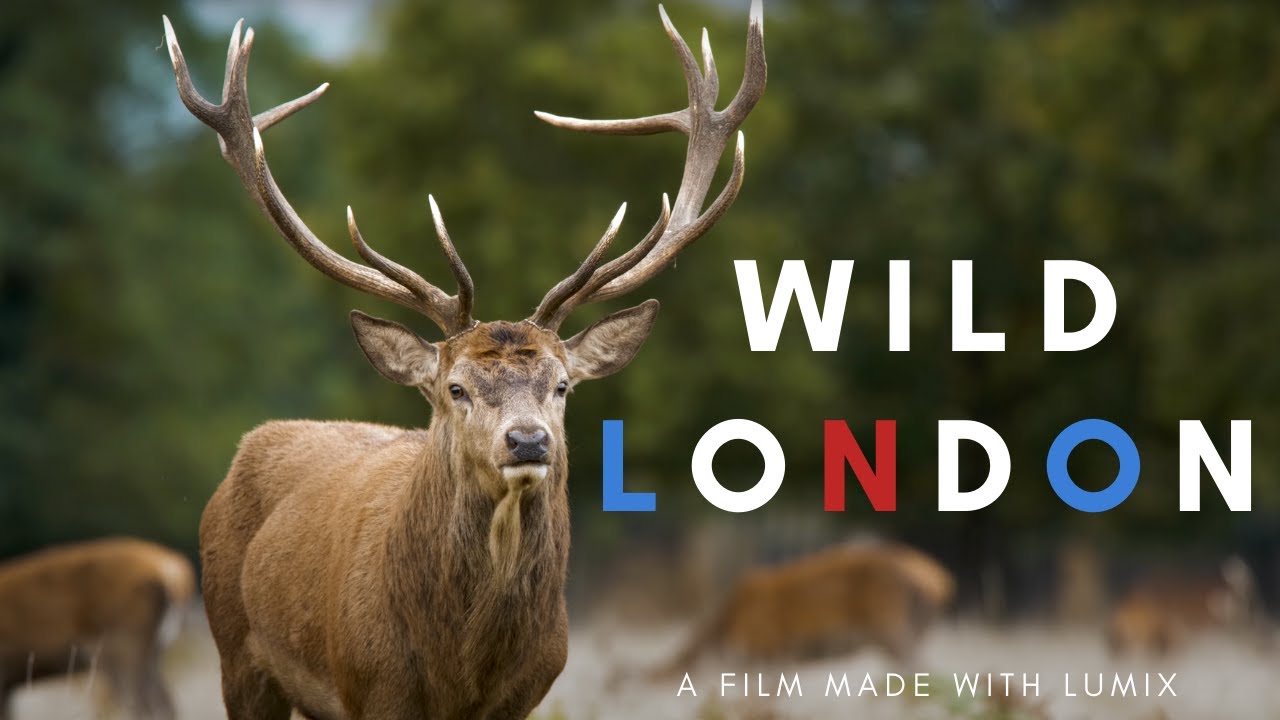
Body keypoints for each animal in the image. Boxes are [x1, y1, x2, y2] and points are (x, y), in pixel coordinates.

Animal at [162, 2, 765, 718]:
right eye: (455, 388)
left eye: (562, 385)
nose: (528, 441)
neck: (462, 667)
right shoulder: (372, 686)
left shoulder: (528, 691)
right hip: (236, 649)